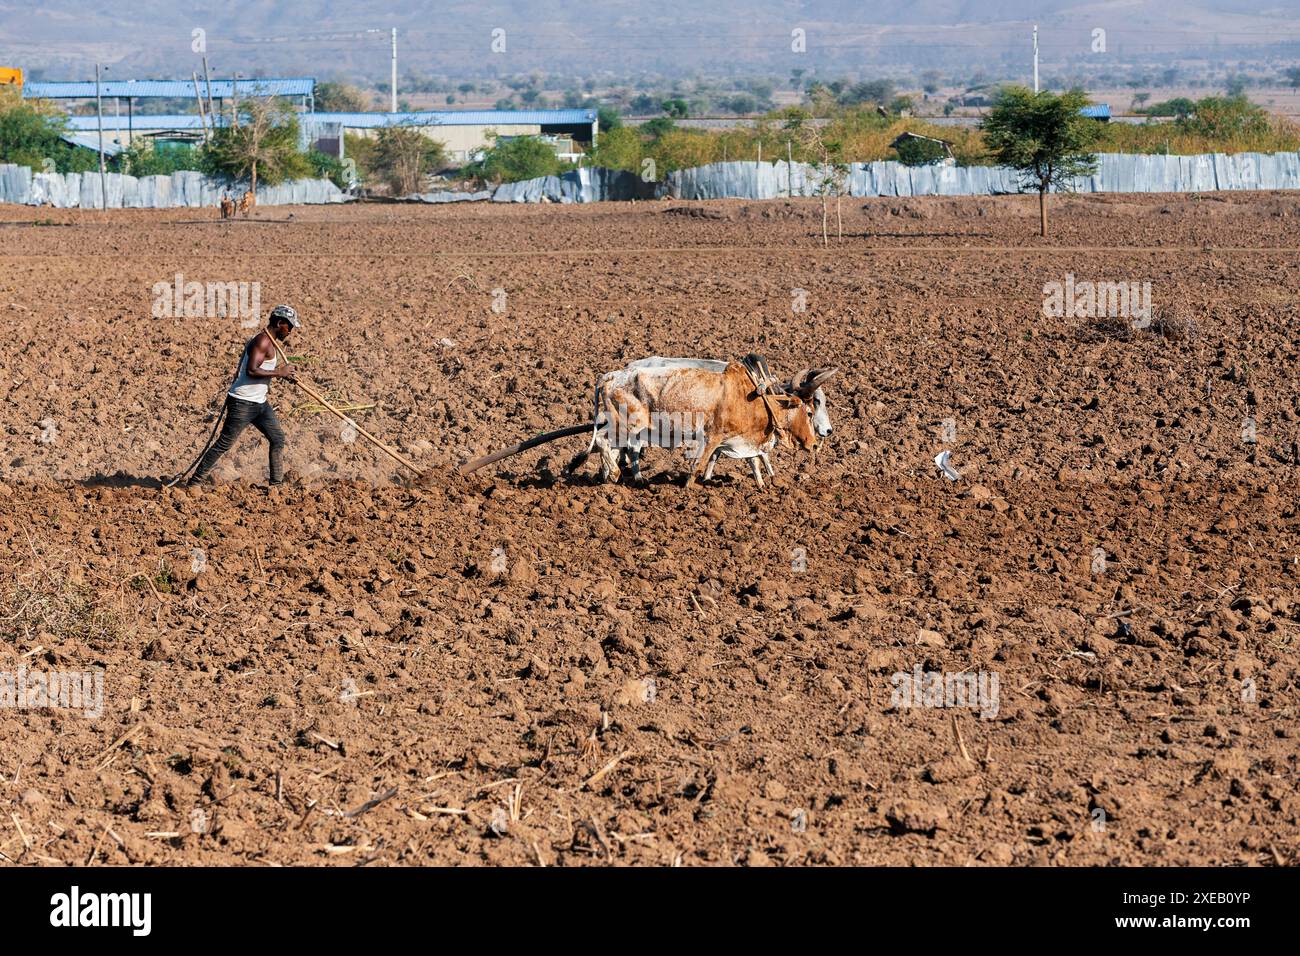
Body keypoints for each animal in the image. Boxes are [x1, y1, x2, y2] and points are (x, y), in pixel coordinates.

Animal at [568, 355, 836, 488]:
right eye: (811, 409)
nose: (818, 440)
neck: (755, 396)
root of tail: (611, 375)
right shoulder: (712, 436)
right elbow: (701, 463)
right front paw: (690, 485)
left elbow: (752, 459)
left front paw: (763, 482)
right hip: (626, 425)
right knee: (605, 443)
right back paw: (618, 474)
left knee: (614, 449)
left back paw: (615, 476)